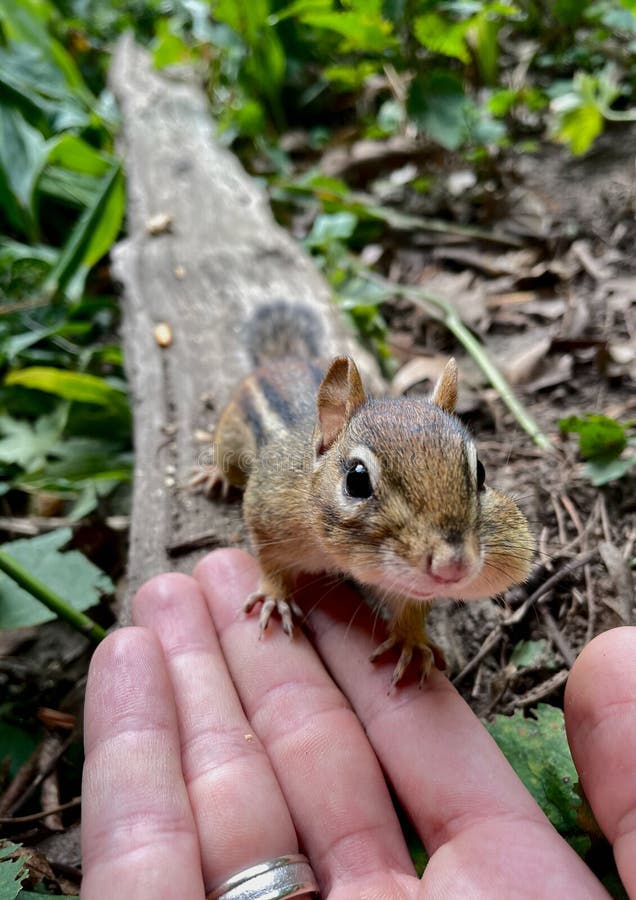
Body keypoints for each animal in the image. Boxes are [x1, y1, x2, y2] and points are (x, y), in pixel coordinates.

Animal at [202, 303, 534, 687]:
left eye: (480, 471)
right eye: (357, 481)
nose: (453, 567)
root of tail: (286, 359)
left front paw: (411, 639)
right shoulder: (266, 512)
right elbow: (270, 560)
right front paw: (275, 595)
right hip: (229, 443)